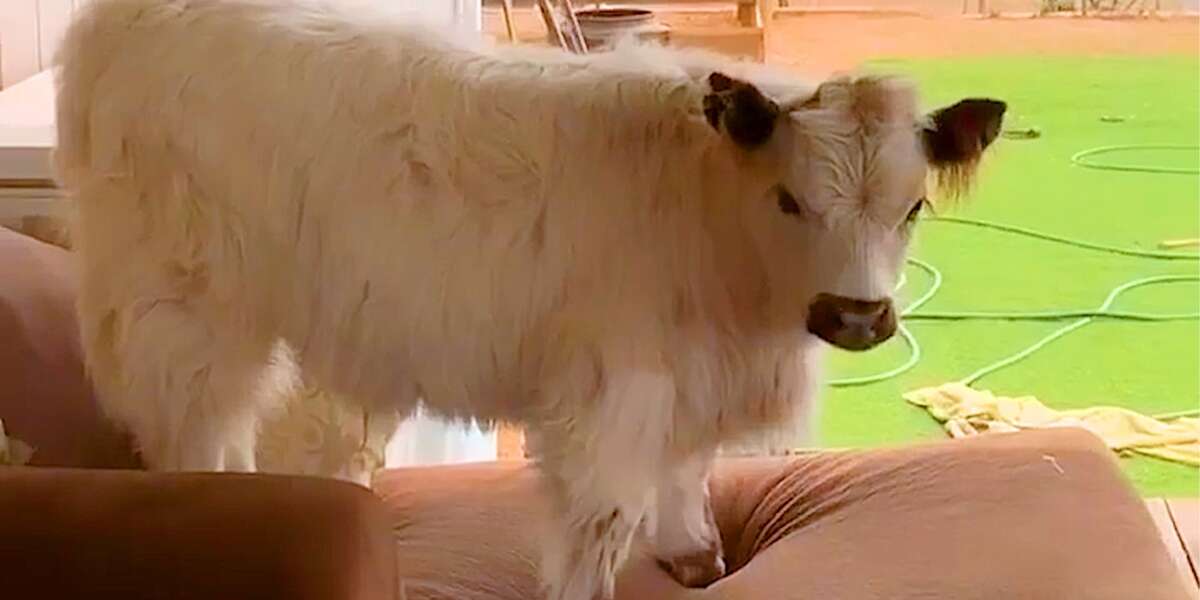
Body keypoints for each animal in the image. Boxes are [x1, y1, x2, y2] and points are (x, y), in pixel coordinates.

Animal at [54, 1, 1005, 598]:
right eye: (789, 200)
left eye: (912, 206)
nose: (857, 317)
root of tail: (118, 22)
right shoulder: (613, 394)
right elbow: (603, 521)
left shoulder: (693, 383)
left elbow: (687, 471)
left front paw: (695, 557)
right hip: (182, 309)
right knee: (199, 428)